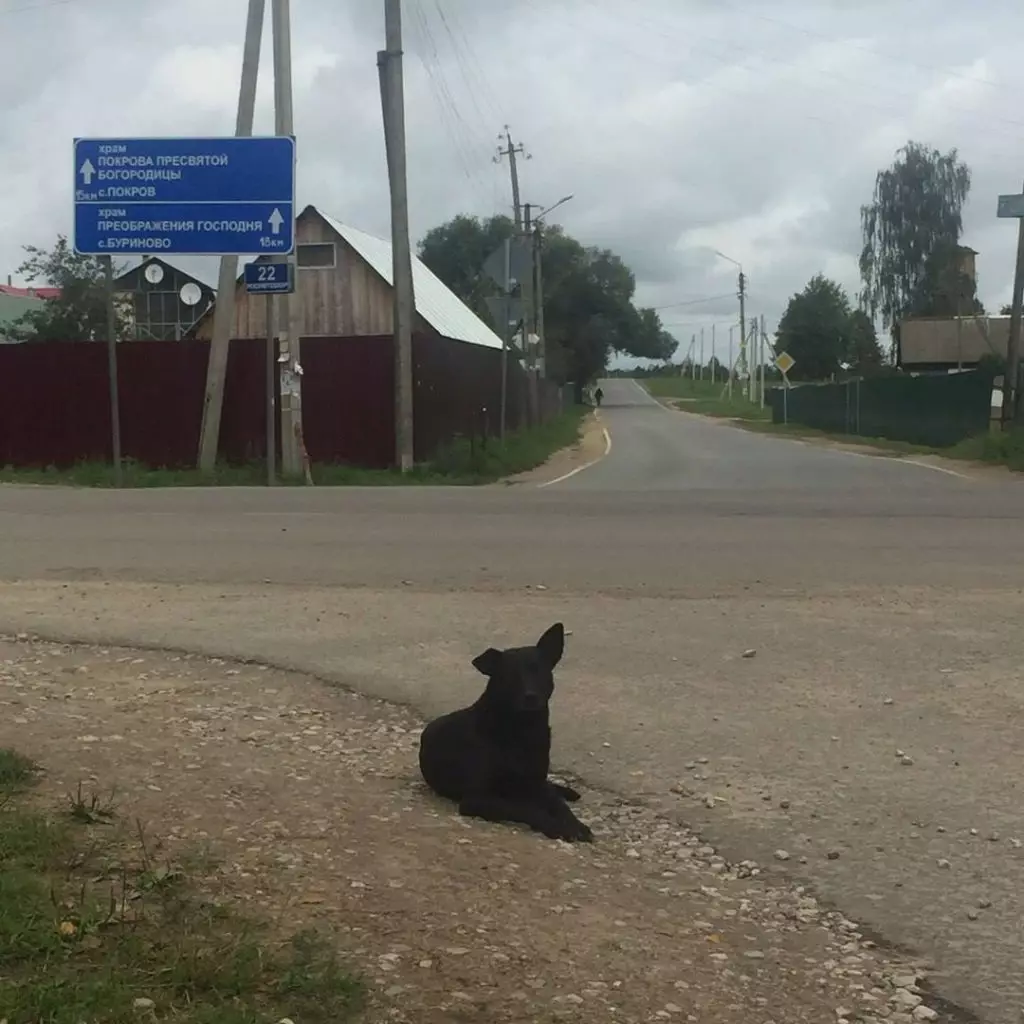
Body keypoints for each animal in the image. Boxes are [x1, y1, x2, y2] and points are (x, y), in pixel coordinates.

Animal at [415, 618, 593, 843]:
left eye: (540, 671)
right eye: (510, 675)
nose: (530, 696)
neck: (521, 731)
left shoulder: (536, 781)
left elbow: (557, 803)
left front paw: (575, 823)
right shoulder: (477, 799)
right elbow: (523, 808)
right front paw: (555, 826)